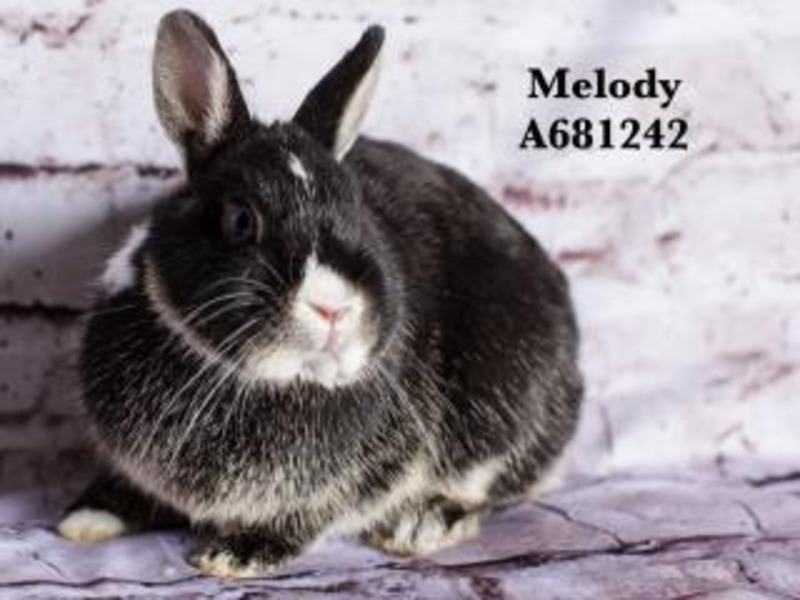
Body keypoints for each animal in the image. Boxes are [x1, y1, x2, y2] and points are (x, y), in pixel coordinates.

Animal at [56, 9, 583, 578]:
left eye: (360, 214)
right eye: (240, 219)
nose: (334, 307)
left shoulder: (351, 482)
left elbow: (305, 518)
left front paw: (234, 555)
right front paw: (85, 519)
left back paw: (421, 525)